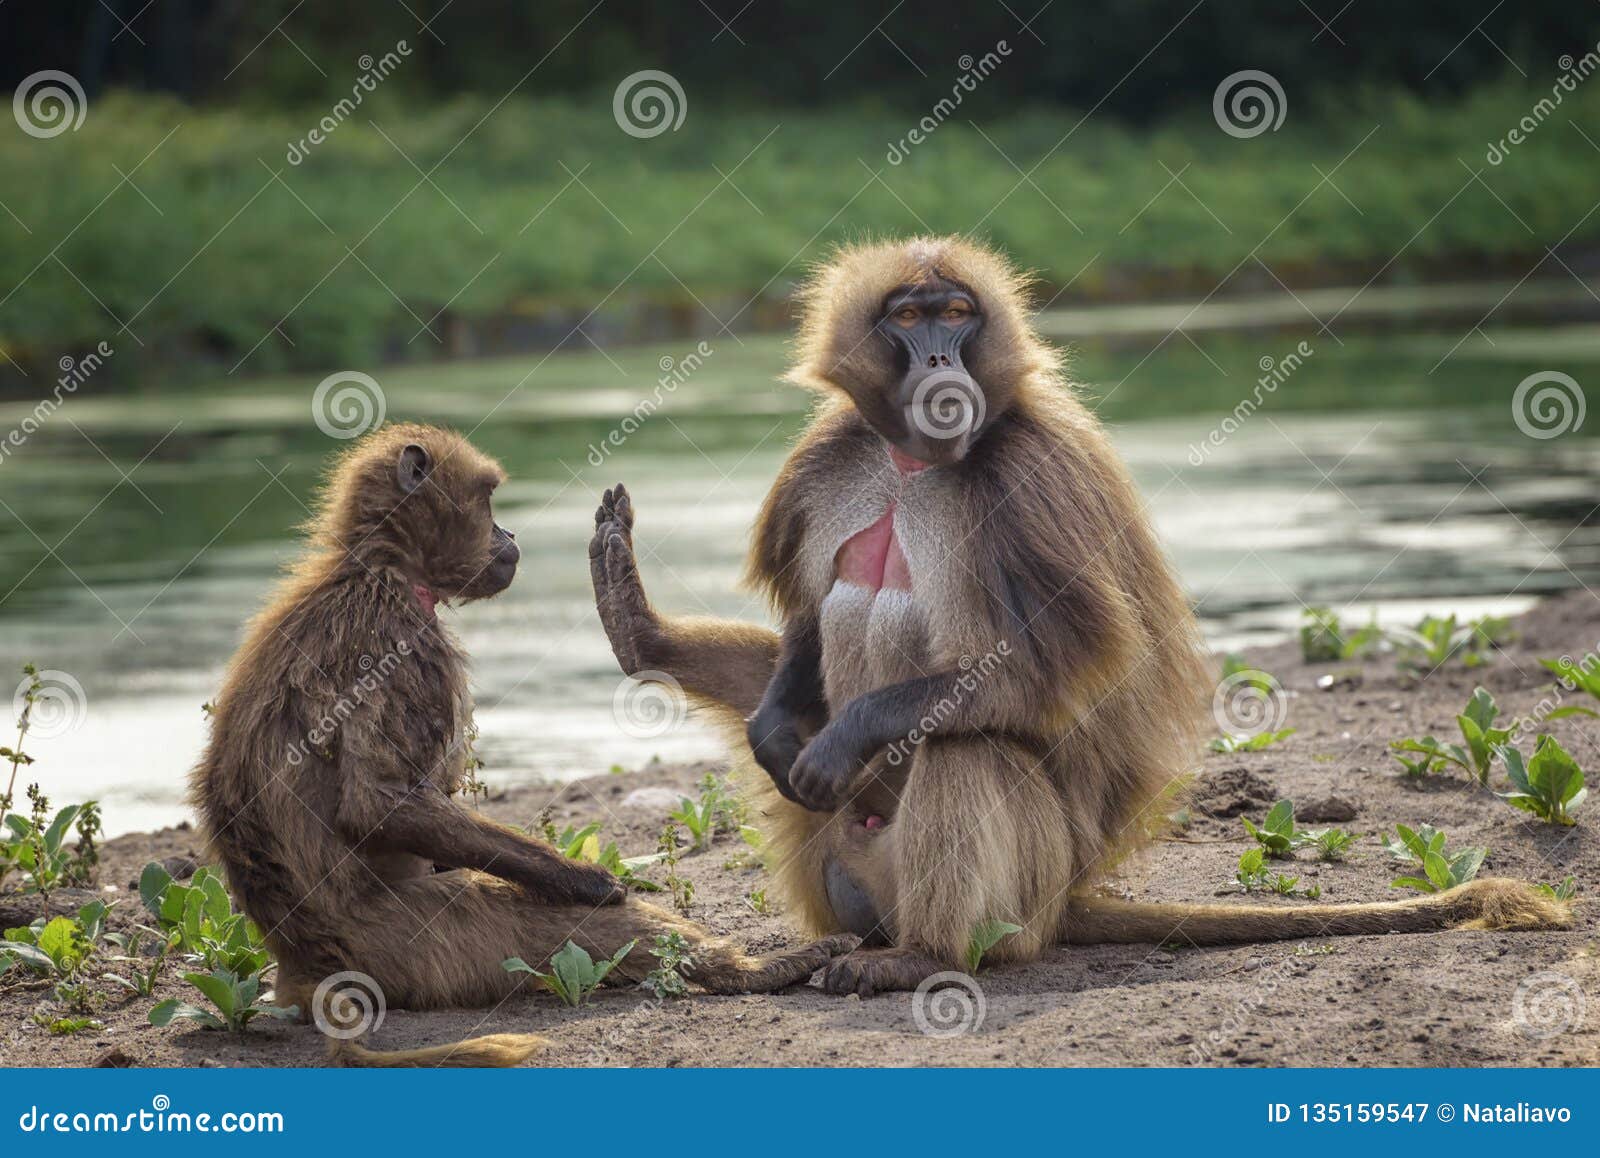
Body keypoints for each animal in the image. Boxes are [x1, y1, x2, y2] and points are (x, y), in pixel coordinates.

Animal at [191, 422, 856, 1066]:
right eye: (488, 501)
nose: (508, 533)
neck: (377, 566)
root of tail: (310, 970)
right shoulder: (398, 639)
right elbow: (376, 802)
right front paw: (588, 882)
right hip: (416, 940)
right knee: (554, 922)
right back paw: (753, 970)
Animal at [590, 236, 1571, 999]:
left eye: (957, 311)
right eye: (908, 318)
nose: (941, 363)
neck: (912, 466)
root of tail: (1069, 899)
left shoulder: (1034, 482)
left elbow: (1055, 670)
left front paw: (840, 740)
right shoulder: (828, 462)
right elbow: (802, 623)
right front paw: (774, 728)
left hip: (1026, 892)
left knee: (964, 747)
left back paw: (920, 958)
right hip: (832, 866)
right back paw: (643, 633)